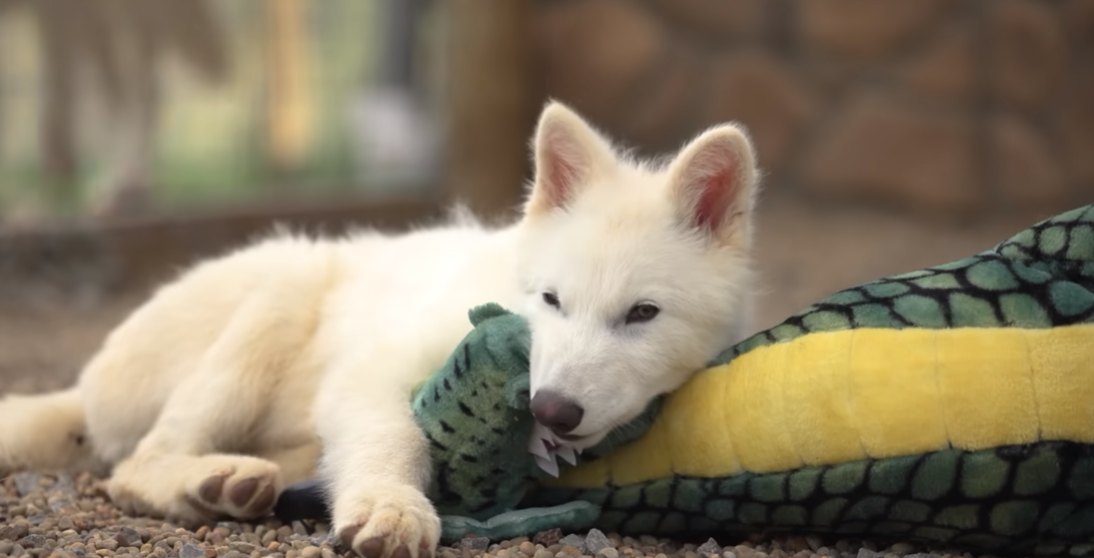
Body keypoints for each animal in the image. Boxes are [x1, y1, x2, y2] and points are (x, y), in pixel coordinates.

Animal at [0, 101, 761, 558]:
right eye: (551, 300)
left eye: (642, 314)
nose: (551, 410)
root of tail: (89, 386)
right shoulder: (371, 370)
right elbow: (394, 435)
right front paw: (391, 508)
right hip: (280, 295)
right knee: (133, 467)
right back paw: (213, 483)